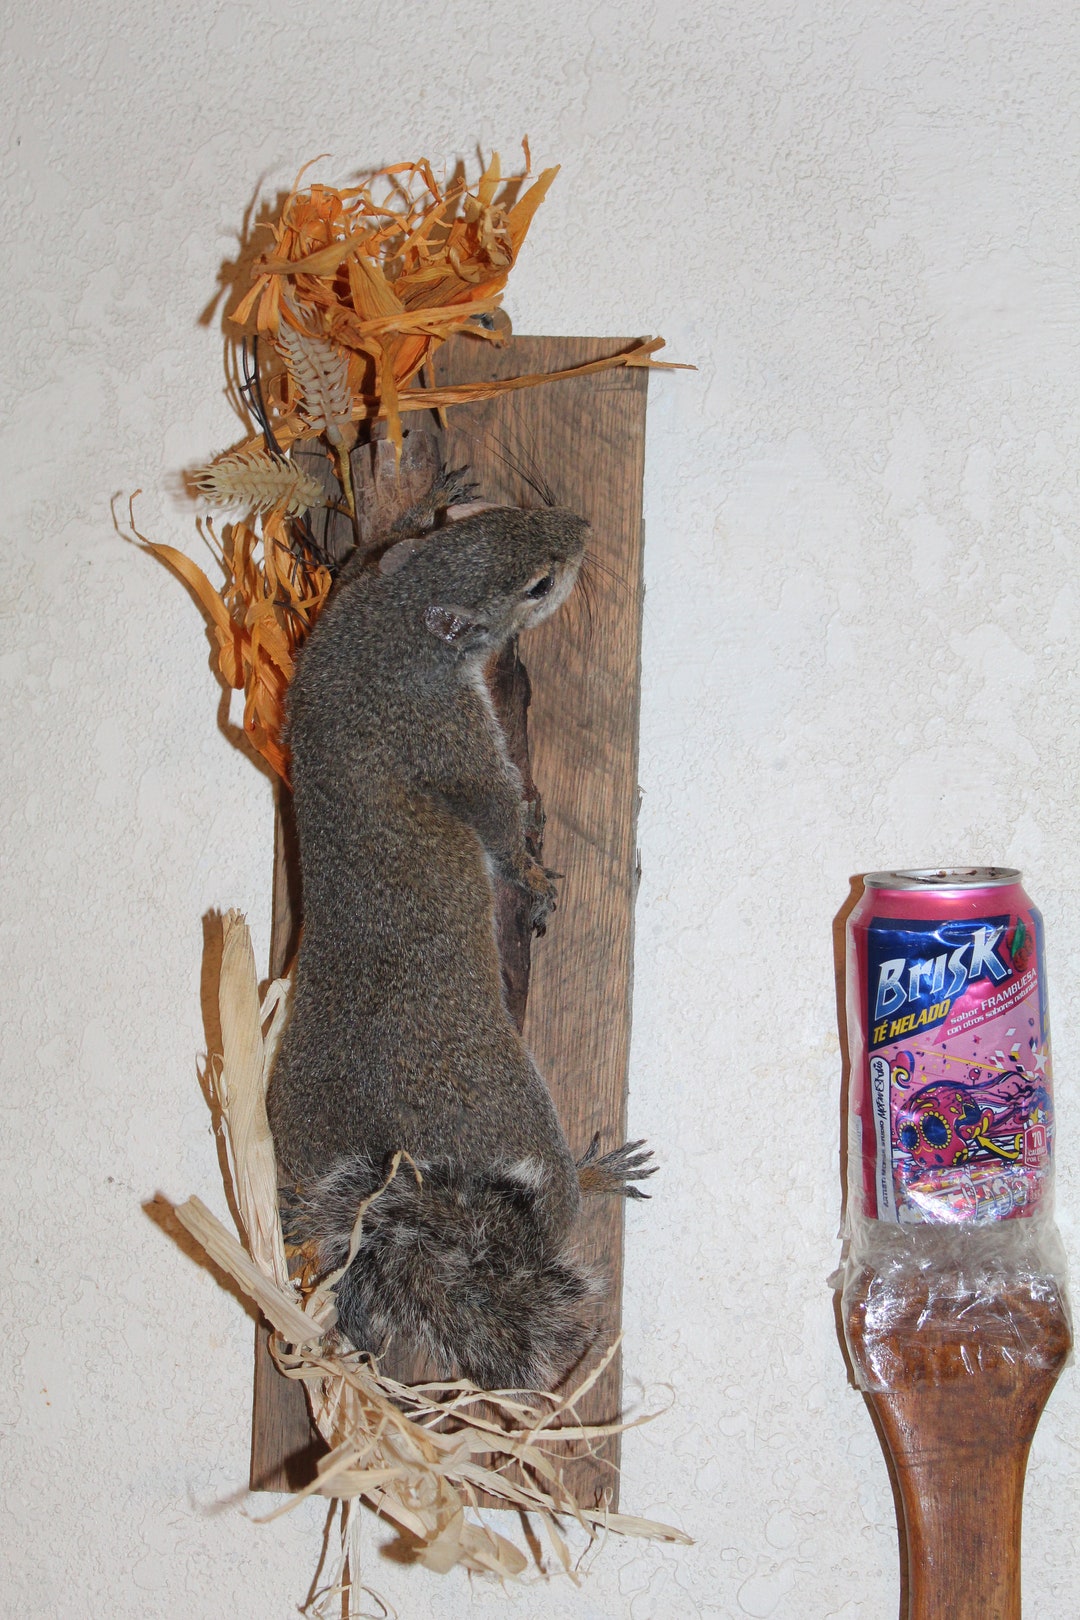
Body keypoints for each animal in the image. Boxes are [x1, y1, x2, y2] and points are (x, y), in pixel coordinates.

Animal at [267, 474, 656, 1390]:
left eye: (484, 520)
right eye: (538, 586)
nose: (580, 526)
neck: (393, 624)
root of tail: (389, 1159)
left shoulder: (341, 608)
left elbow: (353, 560)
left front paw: (412, 506)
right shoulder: (449, 735)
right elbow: (495, 811)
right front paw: (535, 874)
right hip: (511, 1117)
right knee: (551, 1207)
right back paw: (594, 1175)